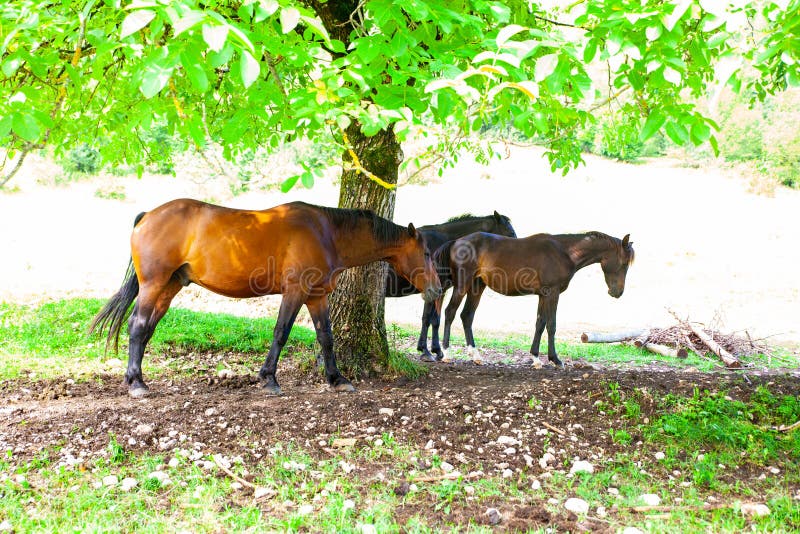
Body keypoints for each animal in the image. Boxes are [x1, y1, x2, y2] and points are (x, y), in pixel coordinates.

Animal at [90, 199, 442, 398]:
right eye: (425, 253)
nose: (438, 290)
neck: (326, 232)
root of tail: (148, 215)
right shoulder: (295, 292)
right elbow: (281, 332)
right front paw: (269, 378)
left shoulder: (317, 296)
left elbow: (326, 337)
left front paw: (336, 379)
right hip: (154, 285)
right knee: (137, 326)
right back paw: (137, 384)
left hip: (170, 286)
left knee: (146, 329)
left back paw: (136, 378)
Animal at [383, 212, 517, 361]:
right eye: (511, 232)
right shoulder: (434, 290)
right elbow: (428, 318)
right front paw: (426, 350)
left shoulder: (441, 290)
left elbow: (435, 318)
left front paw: (435, 349)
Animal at [438, 231, 634, 366]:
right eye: (624, 263)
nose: (617, 292)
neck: (566, 252)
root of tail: (456, 242)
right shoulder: (552, 293)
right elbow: (551, 325)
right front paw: (555, 359)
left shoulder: (543, 295)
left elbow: (540, 324)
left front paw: (535, 358)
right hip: (462, 286)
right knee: (450, 312)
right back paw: (446, 353)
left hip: (477, 287)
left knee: (466, 316)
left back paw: (476, 356)